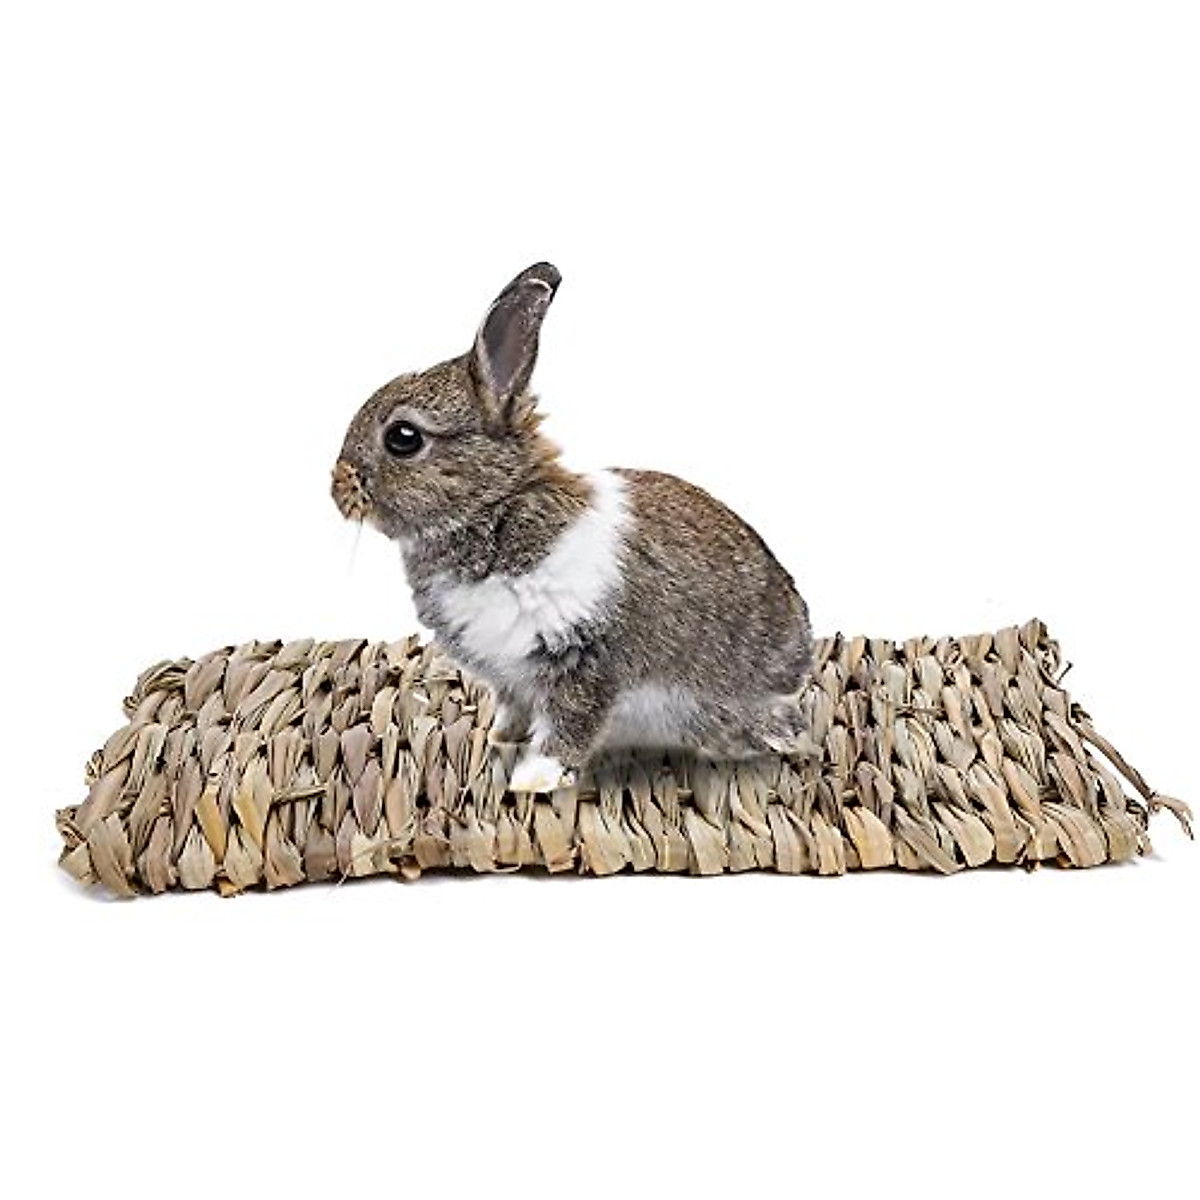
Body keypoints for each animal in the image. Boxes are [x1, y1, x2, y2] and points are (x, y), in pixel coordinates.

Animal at [332, 262, 813, 793]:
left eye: (403, 437)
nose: (337, 486)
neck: (498, 507)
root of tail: (797, 669)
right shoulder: (512, 678)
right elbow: (514, 708)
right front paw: (499, 736)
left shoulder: (581, 660)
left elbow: (571, 723)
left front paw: (533, 779)